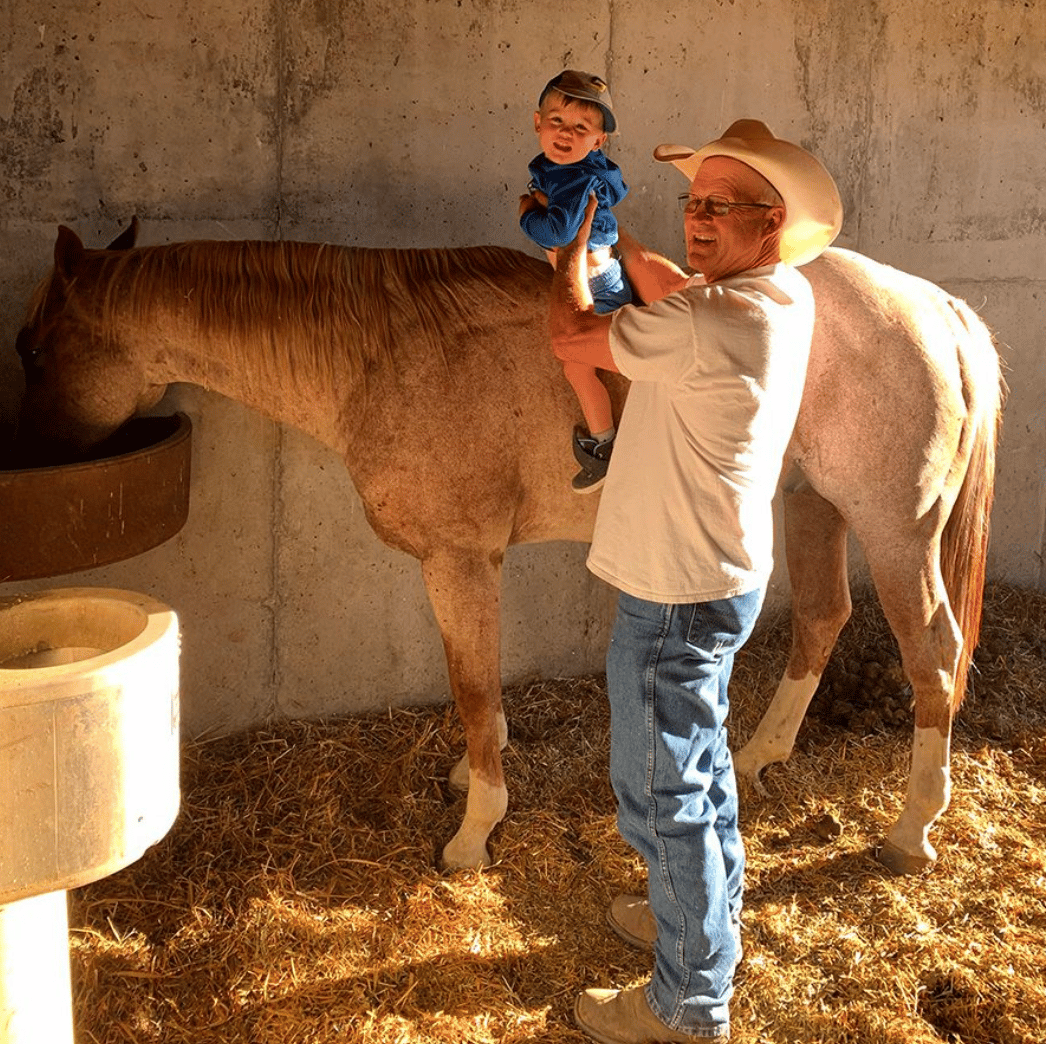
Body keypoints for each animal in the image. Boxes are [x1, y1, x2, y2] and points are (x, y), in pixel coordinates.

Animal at [14, 219, 1002, 876]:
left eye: (30, 345)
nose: (29, 454)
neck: (380, 352)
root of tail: (937, 308)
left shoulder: (460, 561)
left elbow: (473, 683)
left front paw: (473, 831)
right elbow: (476, 690)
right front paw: (470, 779)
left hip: (894, 529)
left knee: (932, 653)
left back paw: (913, 827)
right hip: (814, 507)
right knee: (826, 618)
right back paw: (762, 756)